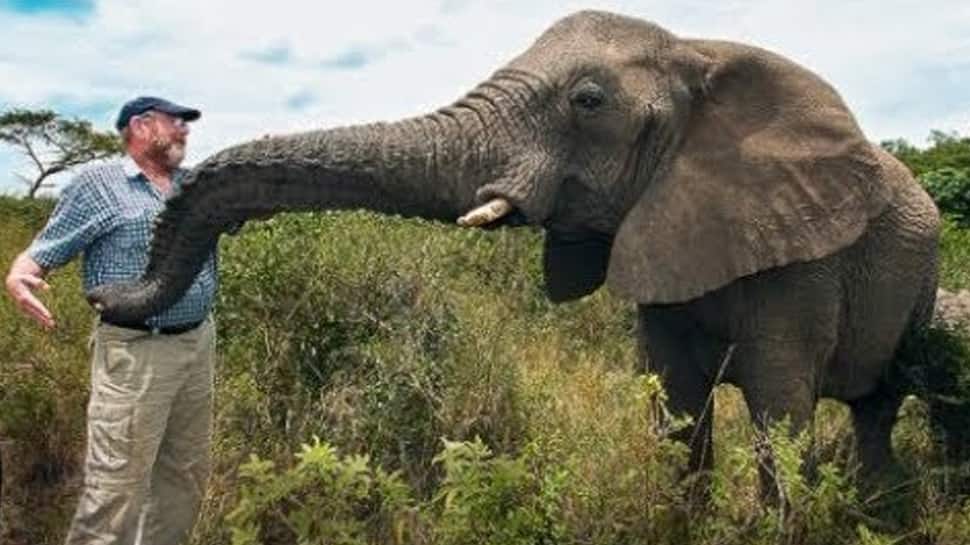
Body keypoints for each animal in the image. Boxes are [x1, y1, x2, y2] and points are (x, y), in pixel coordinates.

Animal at [89, 11, 953, 493]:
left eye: (588, 102)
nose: (101, 299)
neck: (699, 51)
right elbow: (675, 407)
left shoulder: (804, 258)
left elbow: (779, 412)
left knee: (894, 403)